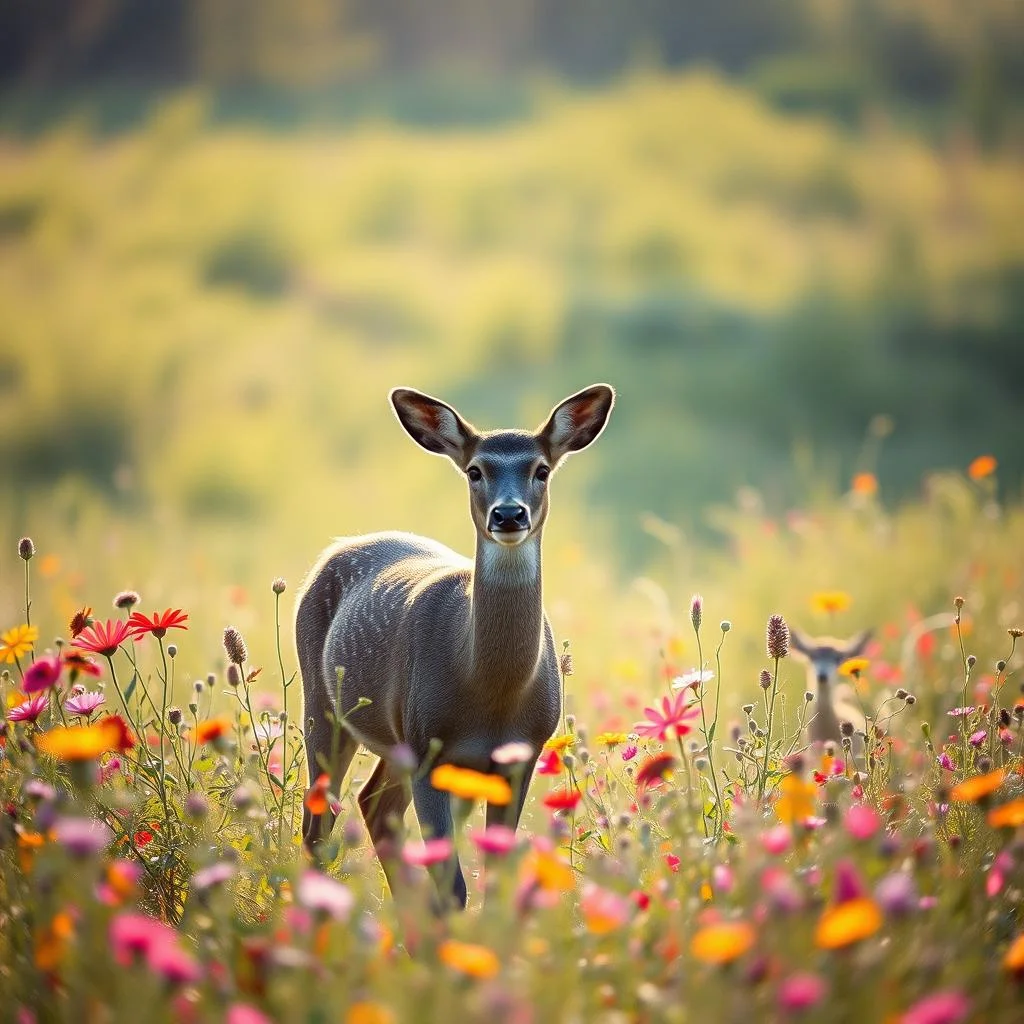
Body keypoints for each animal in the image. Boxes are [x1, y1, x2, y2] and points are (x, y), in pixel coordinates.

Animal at [295, 384, 615, 909]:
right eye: (475, 470)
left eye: (541, 470)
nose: (508, 514)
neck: (490, 692)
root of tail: (338, 546)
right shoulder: (429, 746)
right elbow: (452, 886)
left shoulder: (521, 756)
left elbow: (497, 878)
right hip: (325, 706)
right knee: (318, 822)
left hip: (396, 737)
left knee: (374, 803)